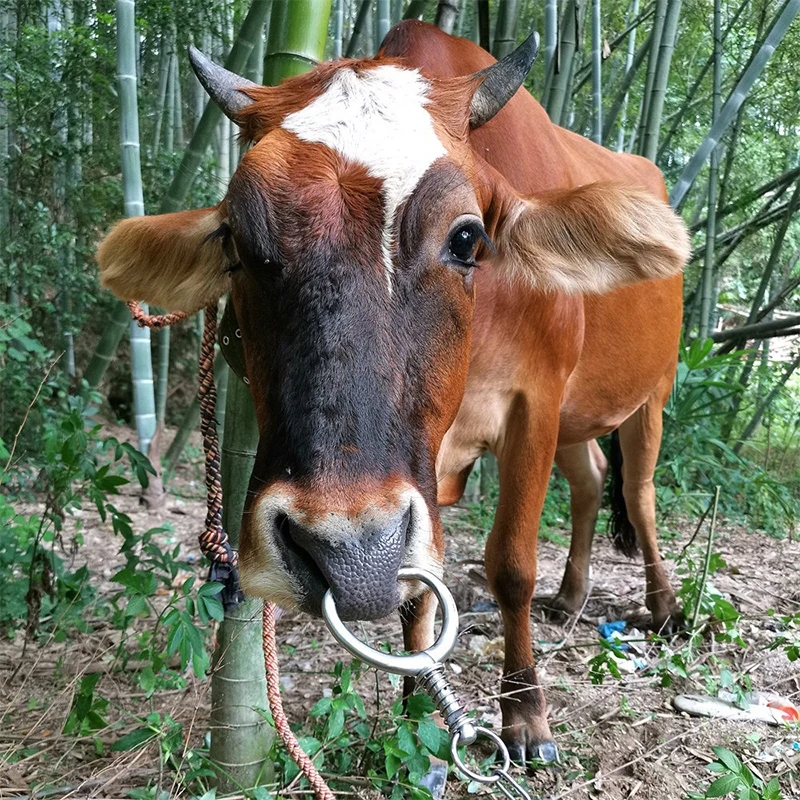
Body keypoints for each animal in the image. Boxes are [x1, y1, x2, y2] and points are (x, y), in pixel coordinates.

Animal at [97, 21, 689, 765]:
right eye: (235, 242)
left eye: (467, 237)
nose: (345, 555)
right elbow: (414, 587)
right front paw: (417, 706)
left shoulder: (538, 402)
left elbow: (511, 564)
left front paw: (525, 713)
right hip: (582, 419)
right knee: (590, 479)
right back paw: (572, 595)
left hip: (651, 395)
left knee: (636, 491)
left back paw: (664, 607)